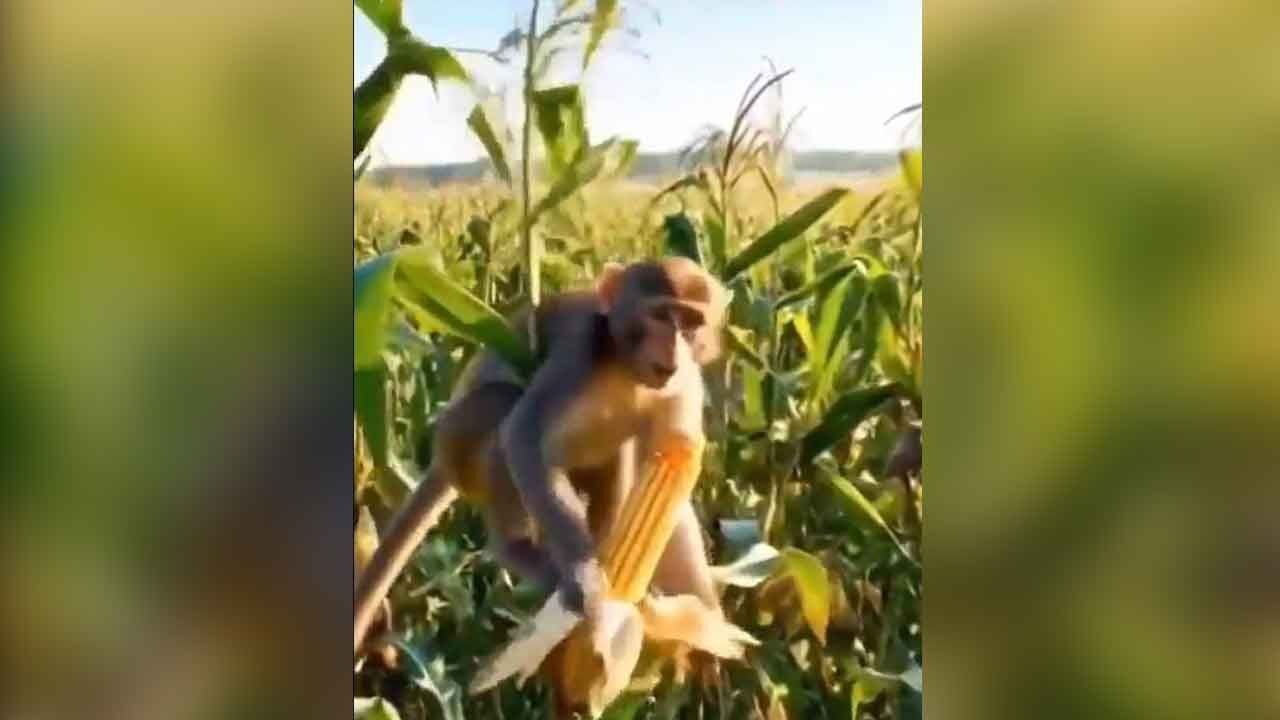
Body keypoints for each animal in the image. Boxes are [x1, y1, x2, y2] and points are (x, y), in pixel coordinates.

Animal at [354, 256, 730, 654]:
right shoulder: (578, 348)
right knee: (502, 404)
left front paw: (702, 616)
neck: (624, 369)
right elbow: (523, 434)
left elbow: (674, 460)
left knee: (617, 450)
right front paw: (585, 583)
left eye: (691, 322)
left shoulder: (686, 383)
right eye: (660, 315)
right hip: (459, 443)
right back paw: (517, 548)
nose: (675, 348)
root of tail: (440, 460)